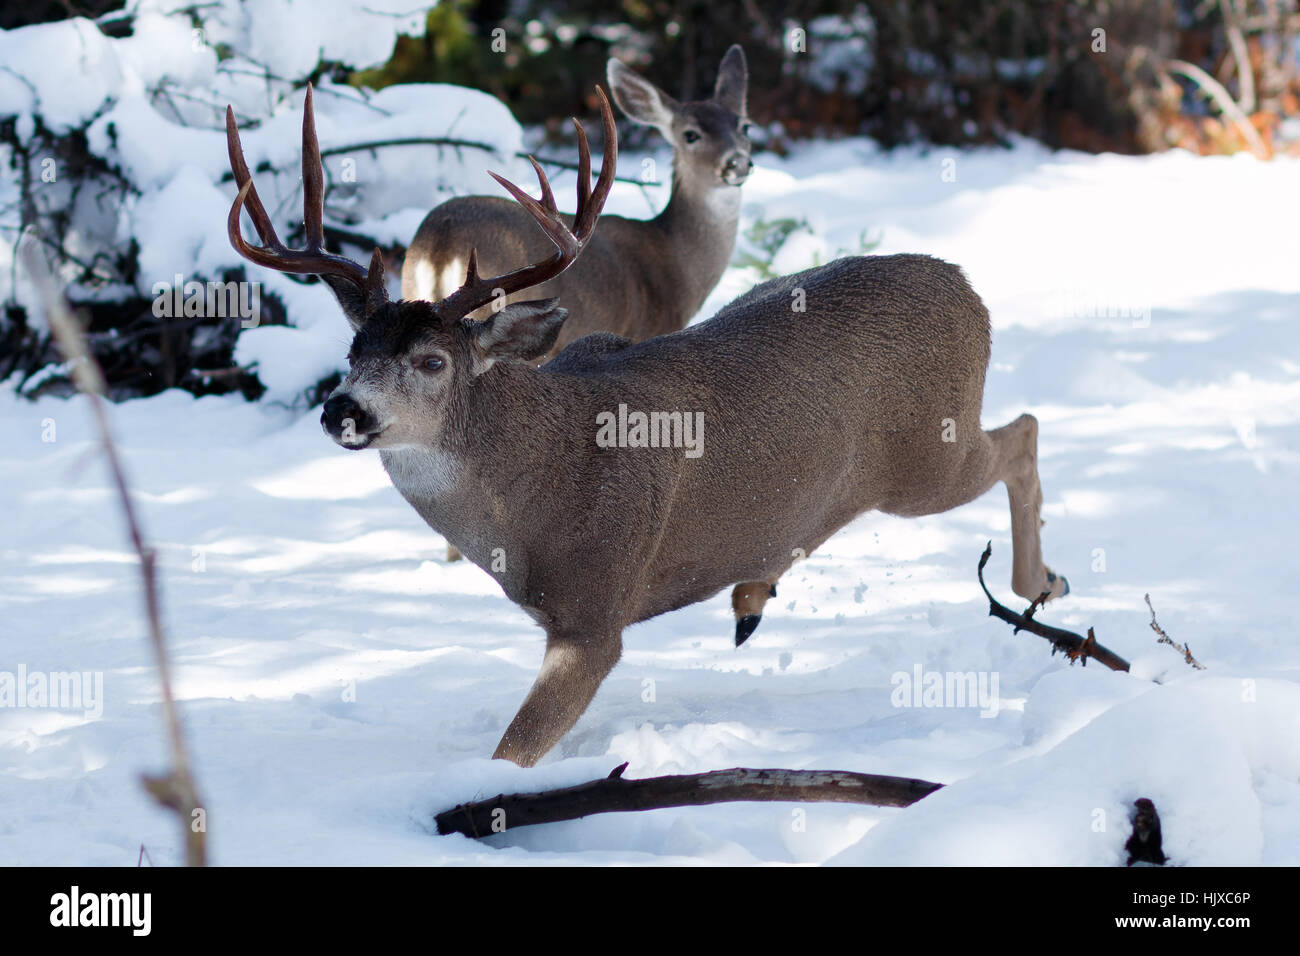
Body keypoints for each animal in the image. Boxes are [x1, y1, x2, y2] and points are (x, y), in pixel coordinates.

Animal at [225, 86, 1069, 769]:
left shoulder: (598, 611)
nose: (343, 409)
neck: (535, 490)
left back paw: (1040, 583)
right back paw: (754, 595)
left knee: (1025, 430)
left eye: (432, 361)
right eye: (353, 353)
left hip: (928, 452)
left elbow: (508, 757)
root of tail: (968, 288)